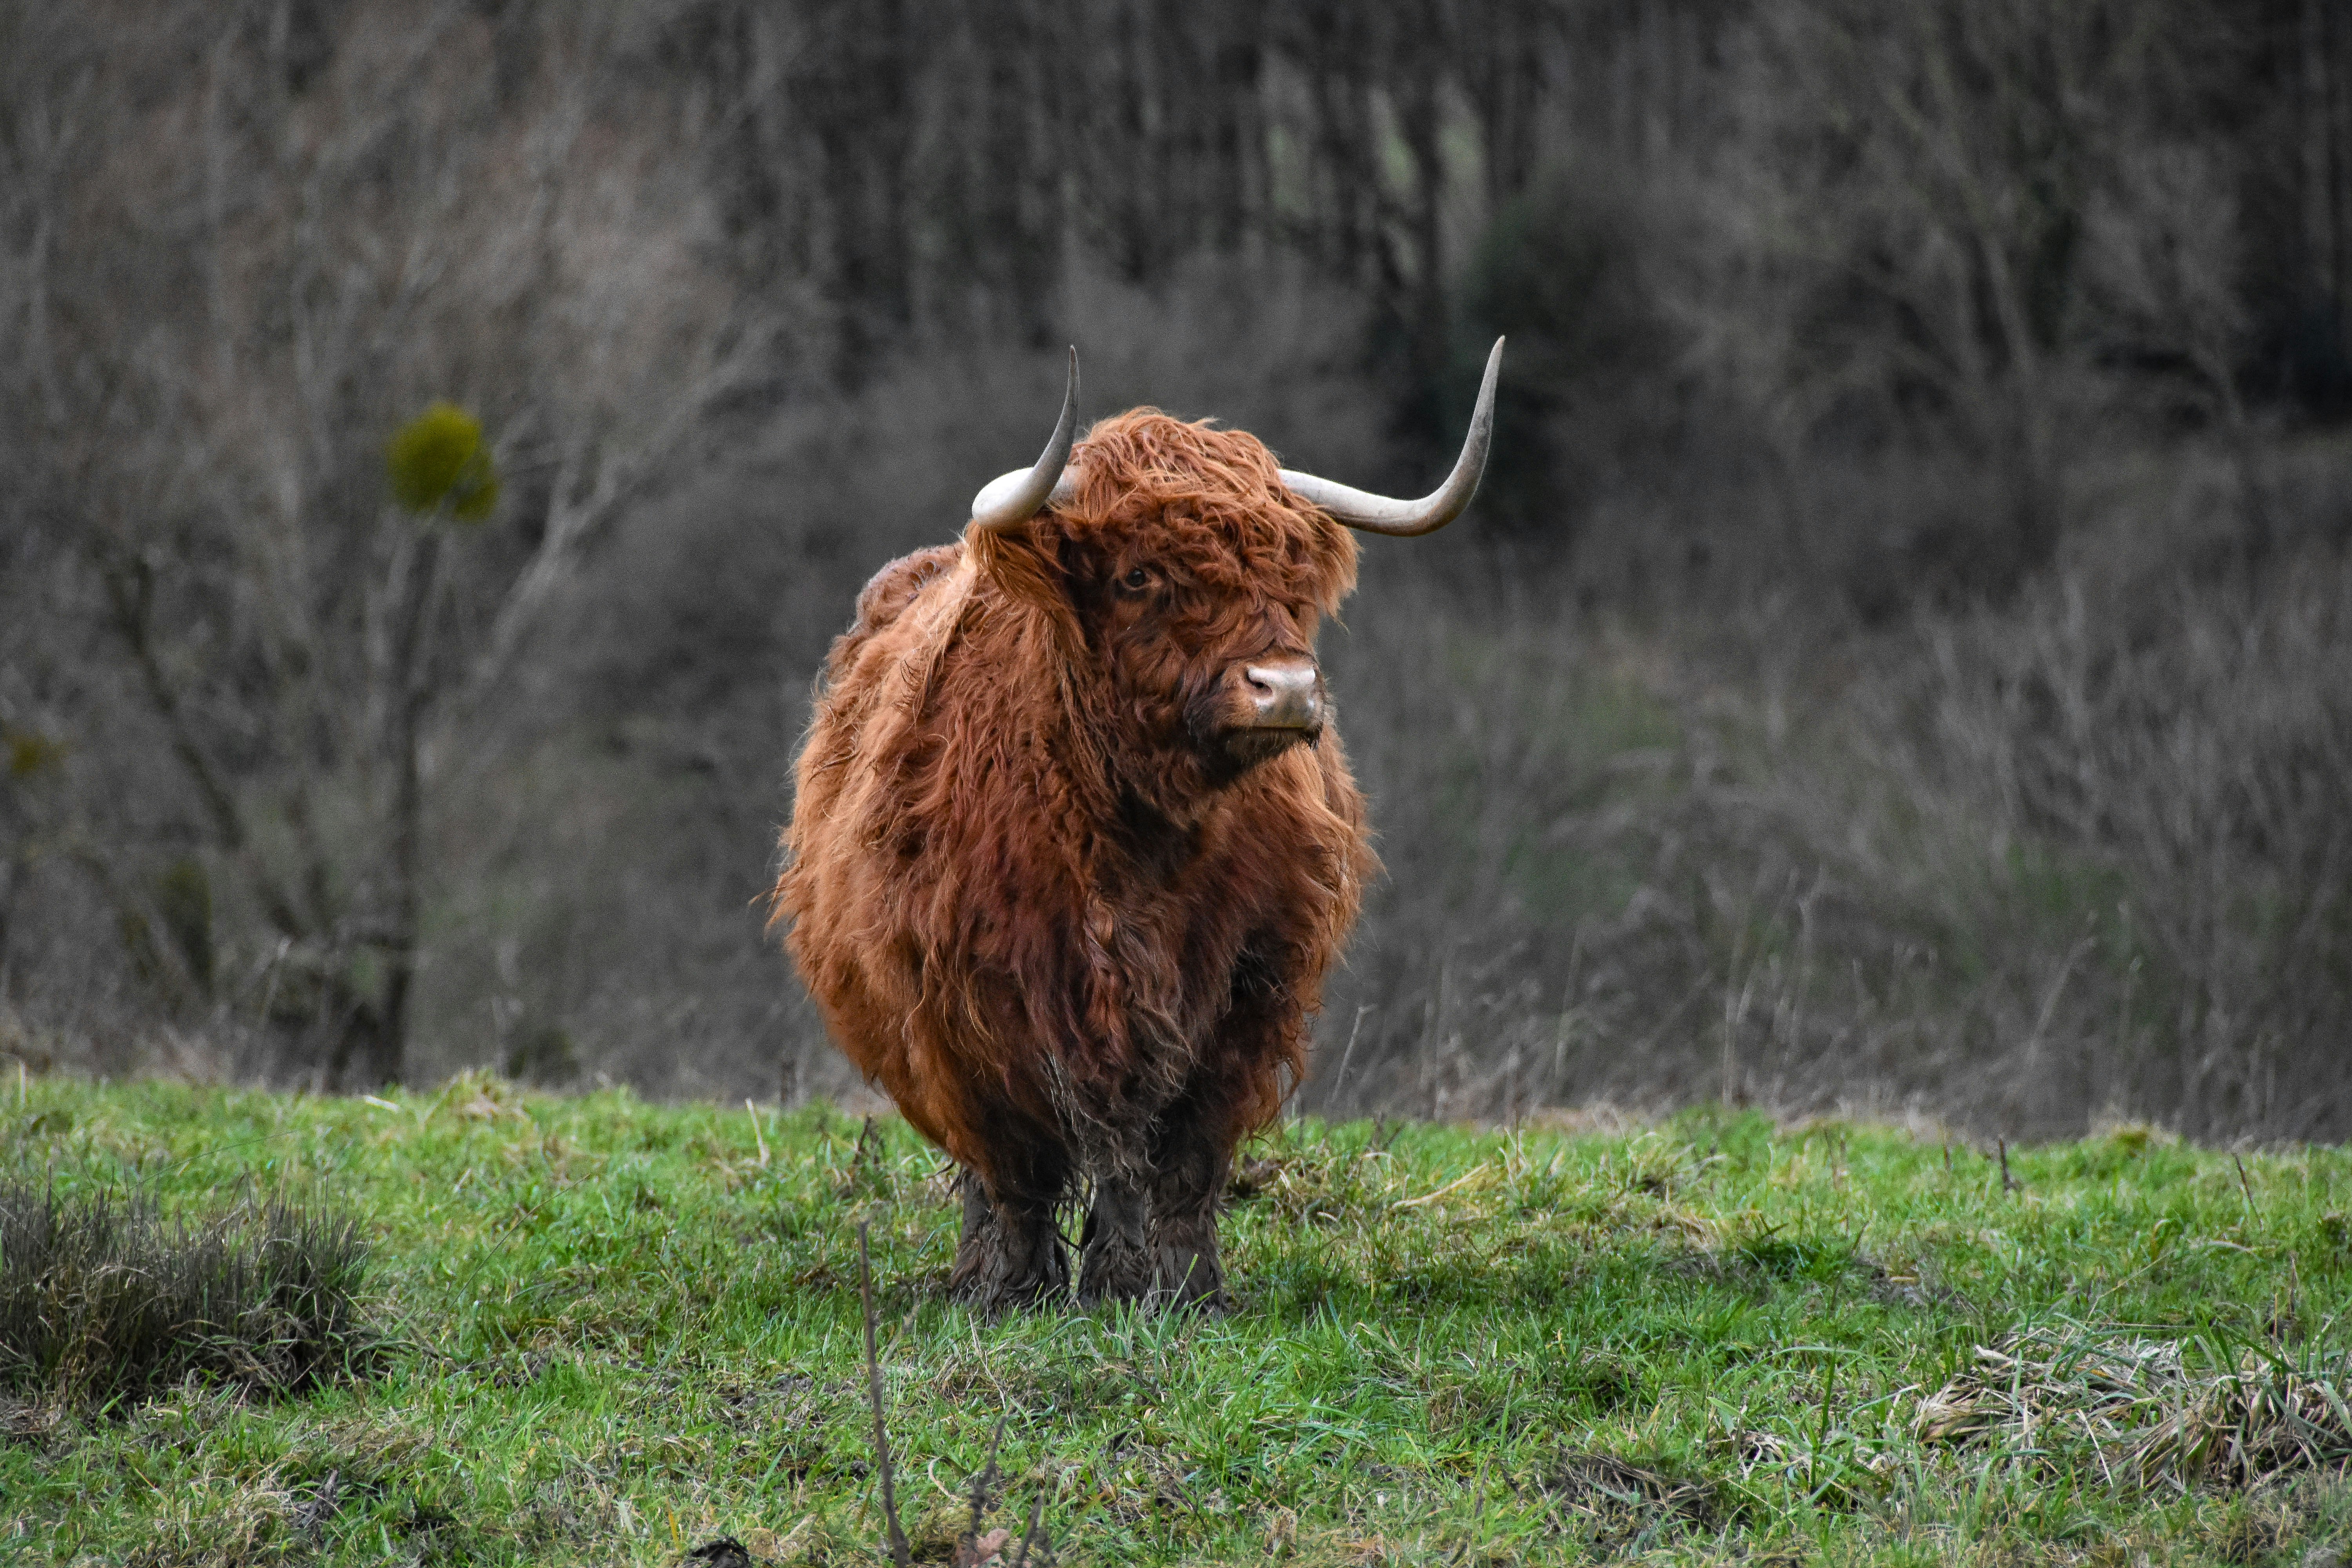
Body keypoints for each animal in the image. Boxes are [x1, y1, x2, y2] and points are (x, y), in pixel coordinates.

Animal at [773, 342, 1503, 1310]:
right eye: (1139, 575)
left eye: (1289, 581)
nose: (1286, 689)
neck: (1138, 839)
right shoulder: (976, 990)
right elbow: (1017, 1155)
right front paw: (1011, 1284)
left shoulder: (1245, 983)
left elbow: (1182, 1151)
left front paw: (1177, 1285)